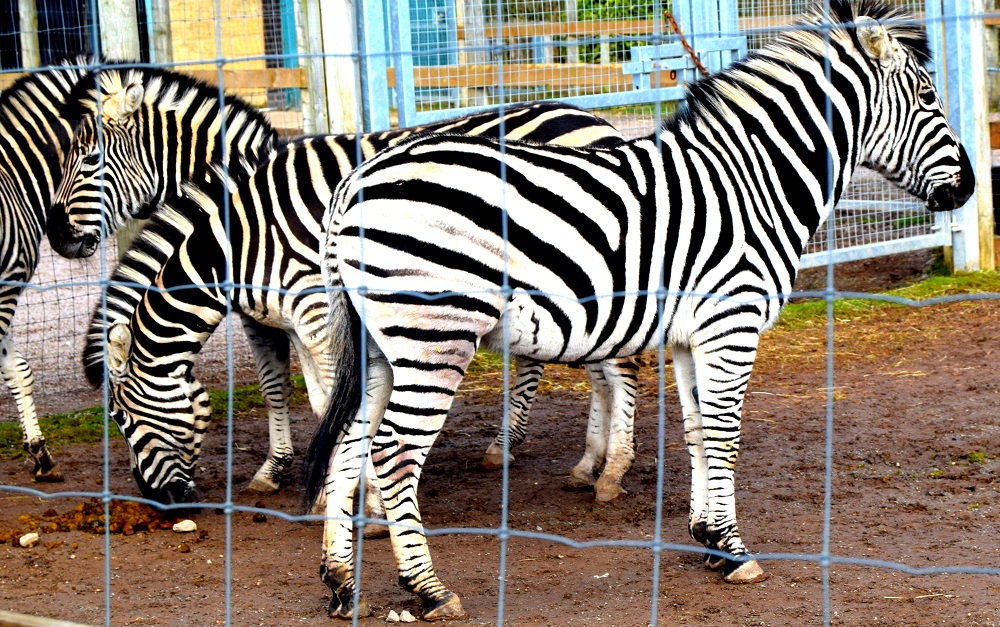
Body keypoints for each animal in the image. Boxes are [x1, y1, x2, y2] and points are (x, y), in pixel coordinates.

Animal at [59, 80, 641, 503]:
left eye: (122, 418)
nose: (156, 502)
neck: (243, 229)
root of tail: (595, 119)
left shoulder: (318, 309)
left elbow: (326, 399)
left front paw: (346, 489)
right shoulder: (275, 316)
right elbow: (285, 389)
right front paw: (285, 472)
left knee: (617, 365)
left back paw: (606, 469)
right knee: (597, 365)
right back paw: (583, 463)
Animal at [305, 0, 974, 618]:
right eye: (928, 96)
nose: (968, 187)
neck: (753, 180)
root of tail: (353, 183)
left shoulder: (690, 335)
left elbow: (699, 431)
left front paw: (708, 538)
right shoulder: (733, 323)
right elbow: (725, 435)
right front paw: (734, 550)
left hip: (378, 345)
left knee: (347, 444)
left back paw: (340, 581)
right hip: (435, 335)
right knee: (393, 456)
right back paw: (429, 589)